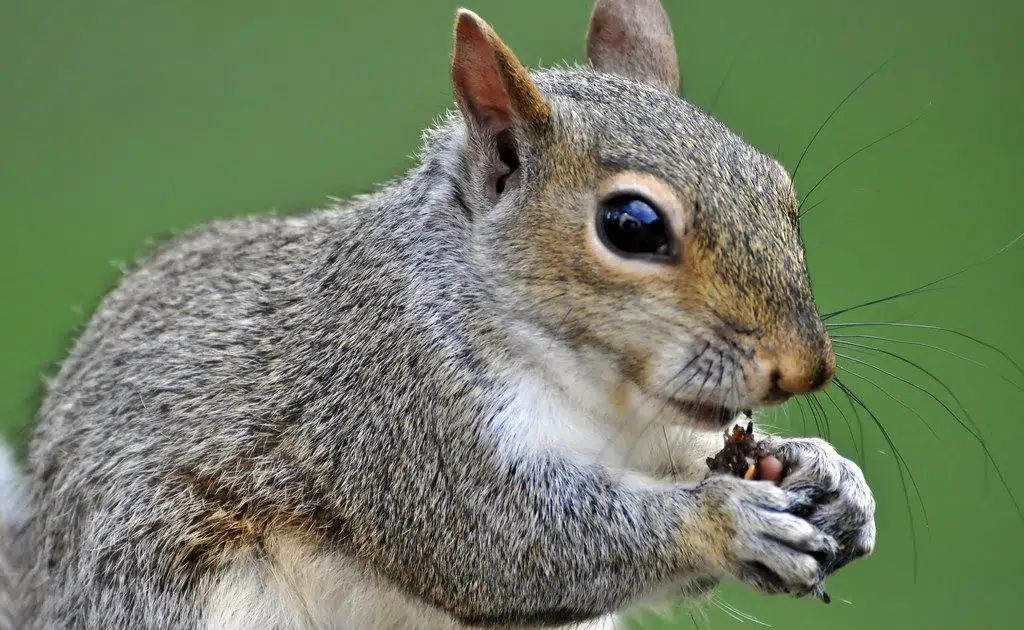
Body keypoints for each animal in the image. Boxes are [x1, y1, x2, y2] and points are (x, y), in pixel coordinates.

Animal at [0, 0, 876, 628]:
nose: (806, 368)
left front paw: (829, 474)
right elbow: (491, 542)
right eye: (631, 225)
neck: (601, 398)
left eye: (777, 187)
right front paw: (728, 521)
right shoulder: (393, 400)